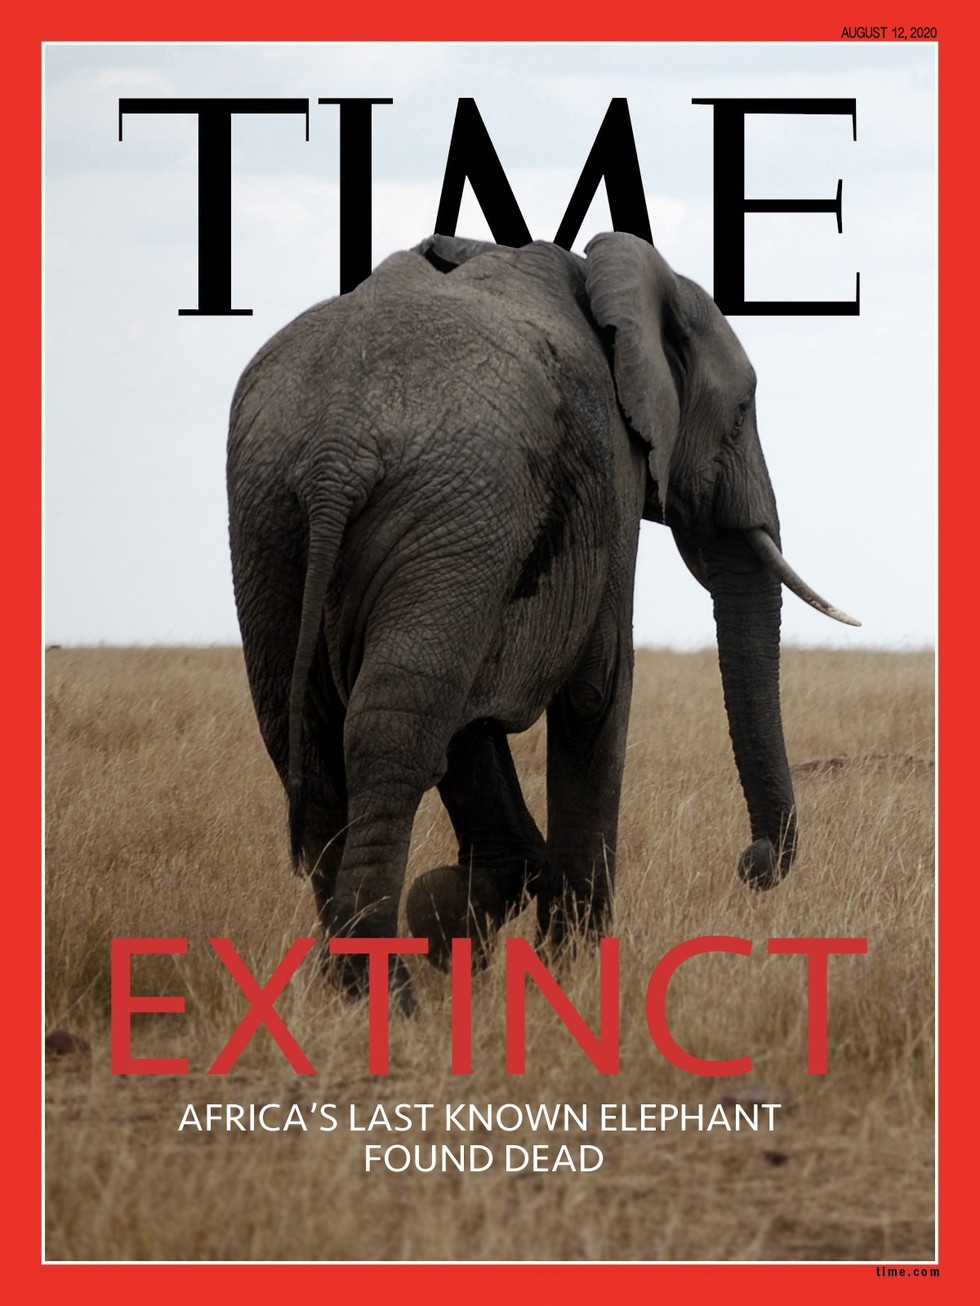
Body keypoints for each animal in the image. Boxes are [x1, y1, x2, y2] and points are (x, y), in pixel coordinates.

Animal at [227, 231, 856, 997]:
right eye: (740, 416)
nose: (753, 860)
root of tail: (335, 455)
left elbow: (474, 724)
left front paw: (467, 908)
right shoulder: (609, 472)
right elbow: (597, 691)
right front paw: (568, 968)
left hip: (273, 513)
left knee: (313, 743)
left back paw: (352, 991)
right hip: (450, 502)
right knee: (393, 732)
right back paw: (391, 997)